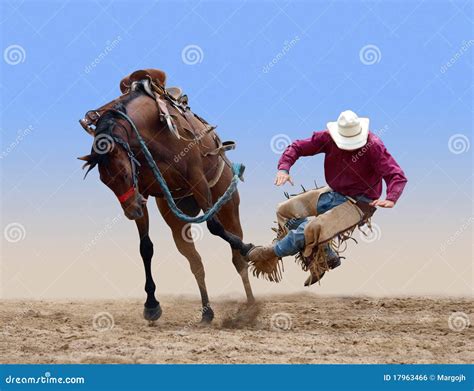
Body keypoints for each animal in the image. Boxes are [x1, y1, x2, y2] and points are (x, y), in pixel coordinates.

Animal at [78, 69, 256, 324]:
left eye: (124, 172)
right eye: (105, 180)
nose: (131, 211)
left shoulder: (198, 181)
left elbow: (215, 227)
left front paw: (249, 247)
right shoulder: (142, 194)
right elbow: (145, 247)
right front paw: (151, 305)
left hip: (227, 204)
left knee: (236, 256)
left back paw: (250, 304)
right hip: (175, 217)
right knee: (195, 261)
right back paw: (207, 311)